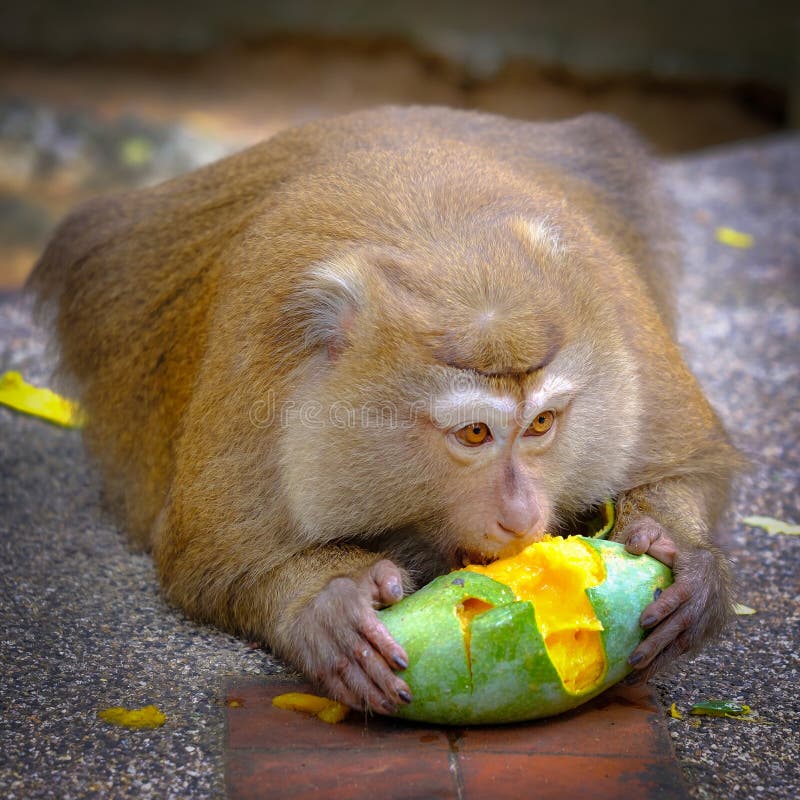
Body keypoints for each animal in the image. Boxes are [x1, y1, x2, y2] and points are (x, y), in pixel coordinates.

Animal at [28, 106, 741, 714]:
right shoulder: (256, 390)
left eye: (540, 424)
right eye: (474, 432)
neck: (443, 240)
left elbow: (694, 465)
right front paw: (327, 605)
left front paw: (675, 549)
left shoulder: (618, 320)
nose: (520, 515)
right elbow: (209, 565)